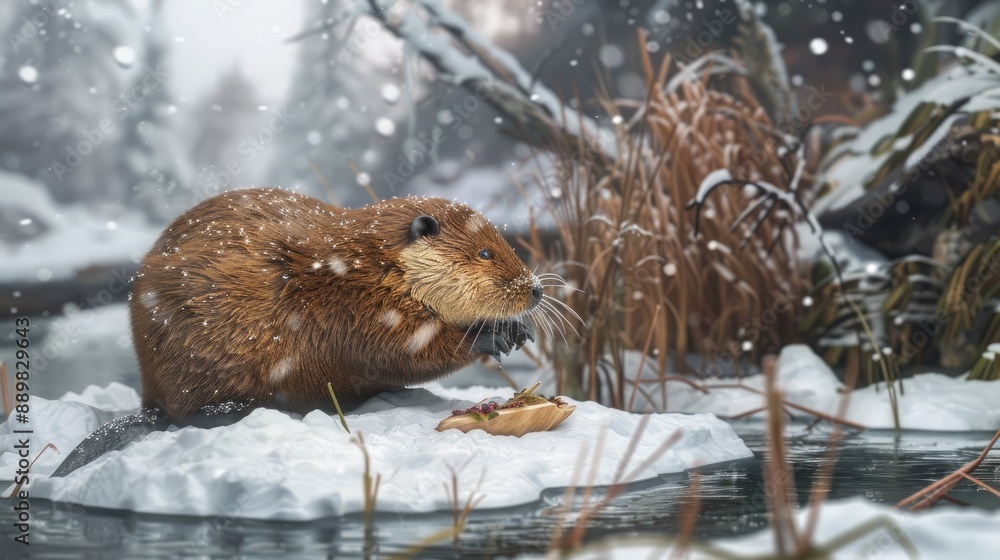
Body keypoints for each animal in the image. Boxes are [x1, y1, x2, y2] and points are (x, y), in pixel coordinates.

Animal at [53, 188, 541, 476]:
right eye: (484, 252)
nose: (535, 290)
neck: (372, 261)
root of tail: (148, 398)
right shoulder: (356, 301)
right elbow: (399, 348)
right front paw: (491, 336)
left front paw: (518, 330)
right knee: (185, 413)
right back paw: (232, 409)